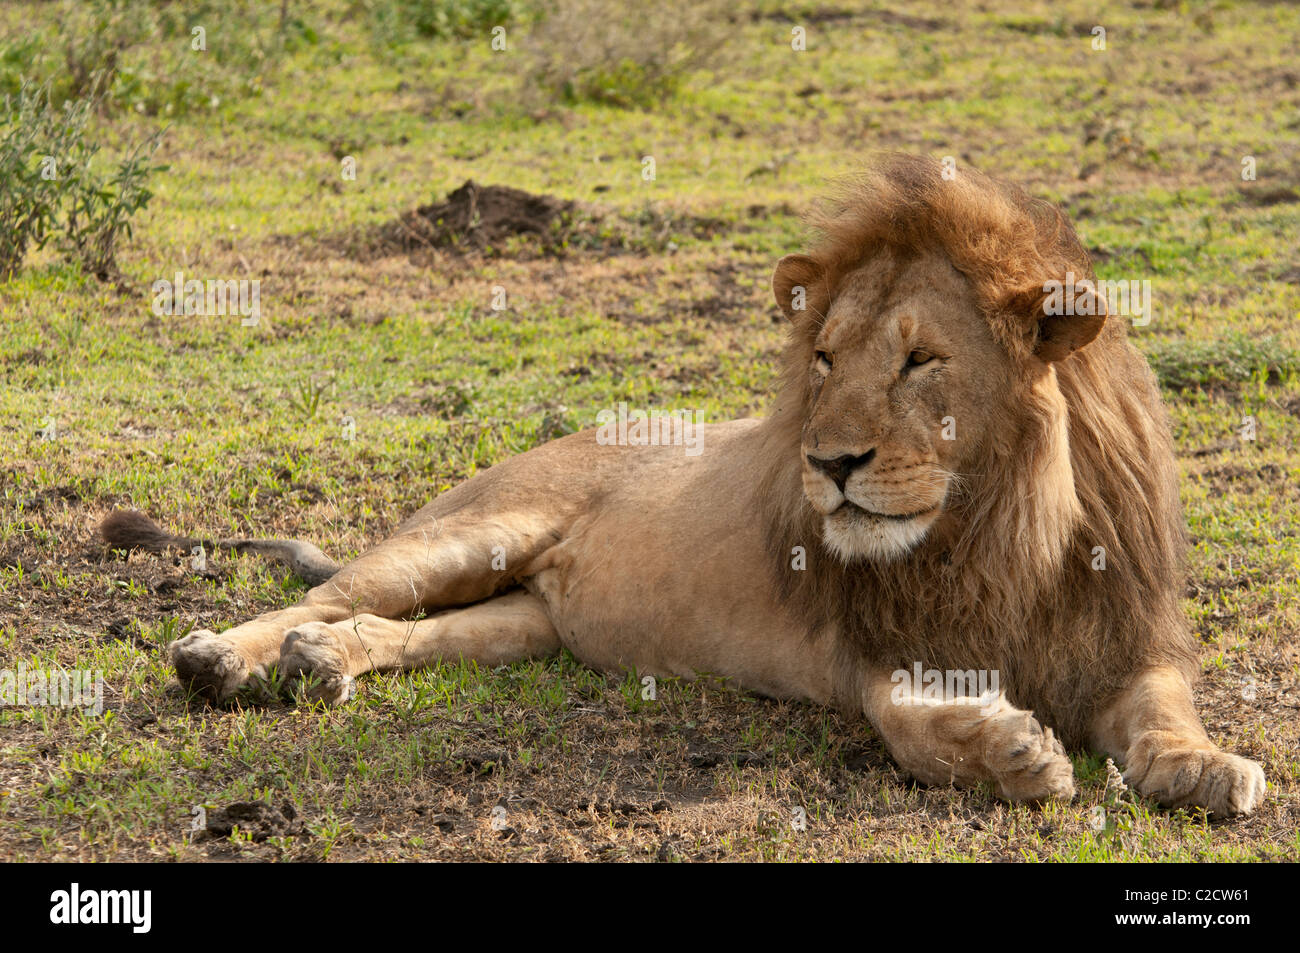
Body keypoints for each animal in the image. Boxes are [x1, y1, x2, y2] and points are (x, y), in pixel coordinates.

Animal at [100, 153, 1265, 816]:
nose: (828, 463)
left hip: (525, 622)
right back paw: (221, 658)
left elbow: (1166, 712)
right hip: (471, 532)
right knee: (328, 593)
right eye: (824, 359)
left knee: (395, 632)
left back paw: (319, 664)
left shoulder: (1127, 637)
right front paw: (1012, 753)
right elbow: (909, 720)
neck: (995, 530)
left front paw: (1208, 768)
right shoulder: (870, 649)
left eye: (920, 361)